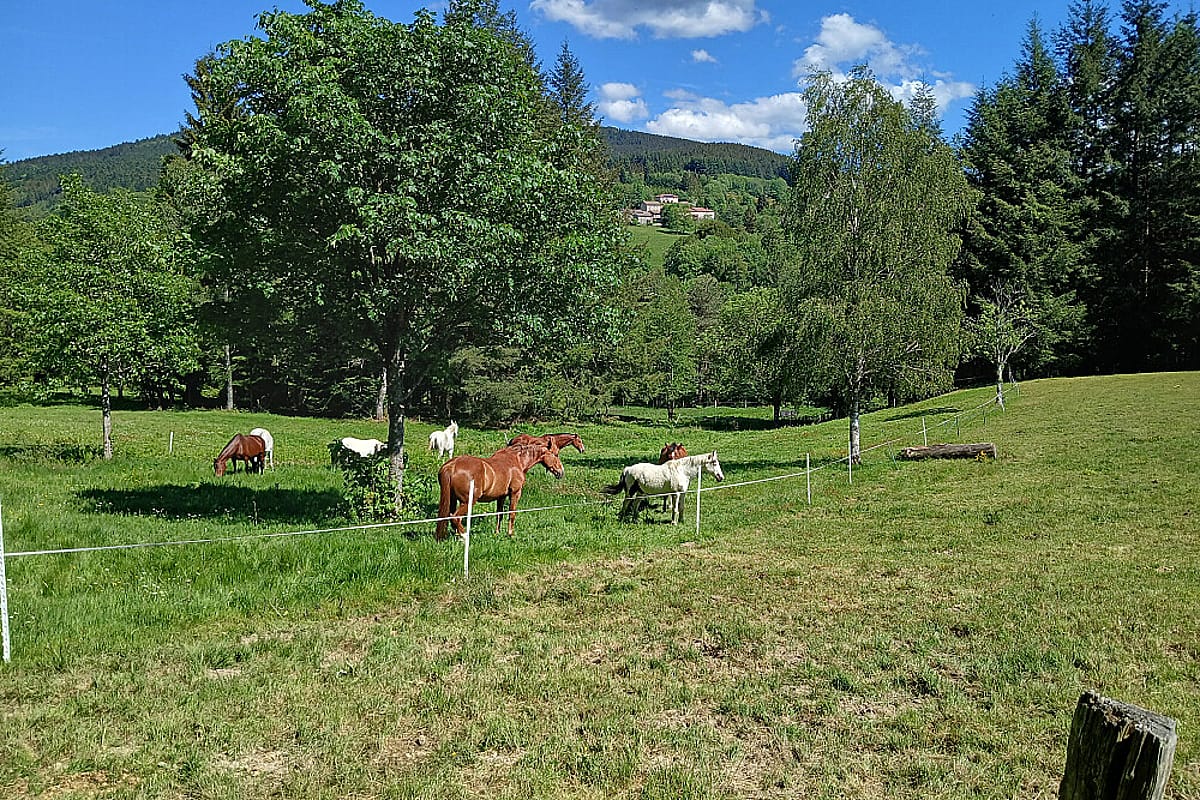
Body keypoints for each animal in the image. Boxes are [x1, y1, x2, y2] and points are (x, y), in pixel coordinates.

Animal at [436, 441, 565, 541]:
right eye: (556, 455)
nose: (561, 472)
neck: (517, 461)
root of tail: (452, 465)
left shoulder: (501, 497)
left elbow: (499, 514)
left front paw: (497, 533)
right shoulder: (515, 493)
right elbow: (512, 514)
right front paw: (510, 534)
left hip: (453, 499)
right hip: (468, 502)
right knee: (455, 517)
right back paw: (464, 536)